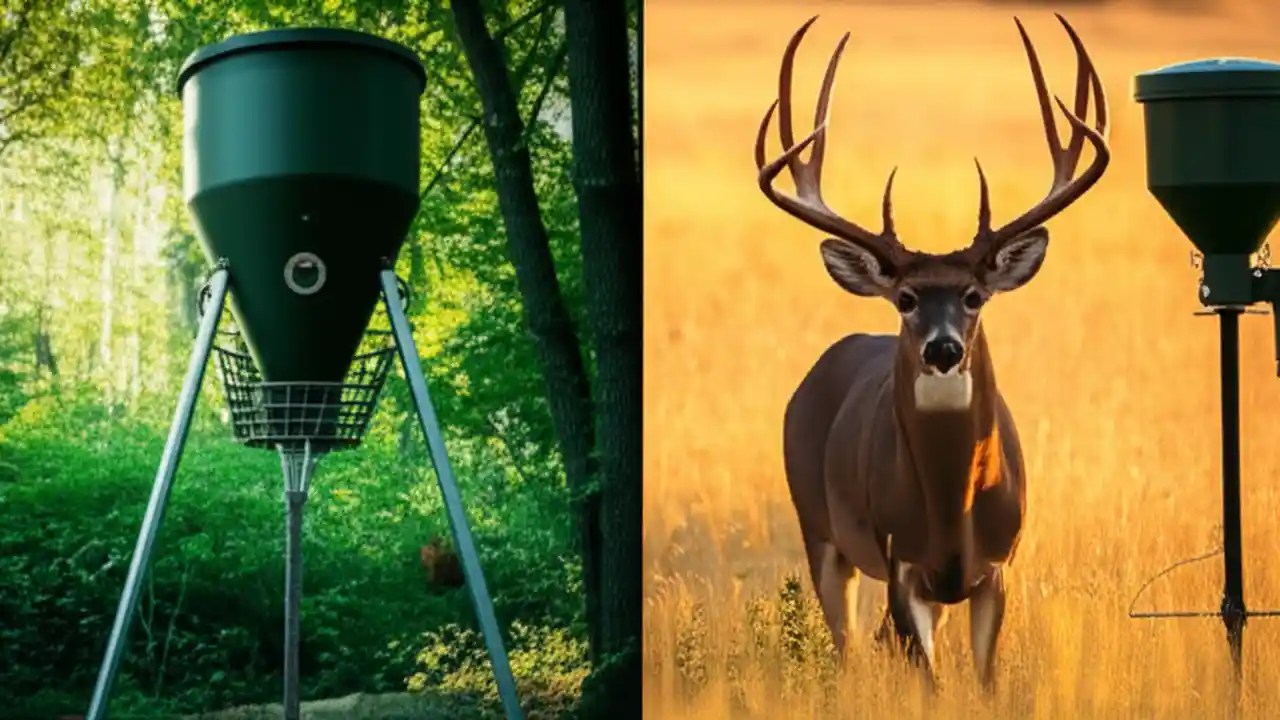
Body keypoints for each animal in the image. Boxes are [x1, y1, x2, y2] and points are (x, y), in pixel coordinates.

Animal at [756, 14, 1109, 690]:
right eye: (906, 298)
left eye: (974, 296)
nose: (943, 348)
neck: (951, 509)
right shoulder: (900, 564)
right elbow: (931, 682)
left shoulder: (998, 567)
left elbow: (986, 681)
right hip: (819, 529)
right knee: (847, 646)